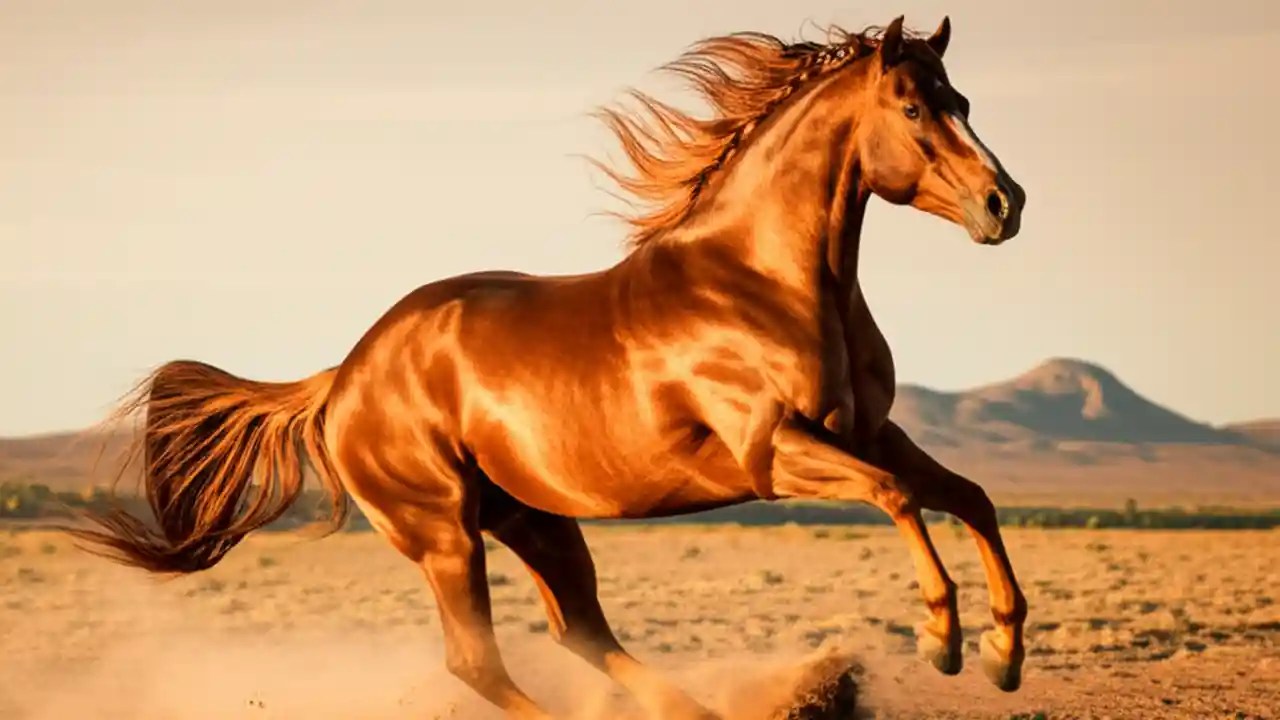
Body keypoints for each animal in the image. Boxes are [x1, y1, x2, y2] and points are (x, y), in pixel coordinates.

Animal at [67, 15, 1028, 719]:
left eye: (962, 97)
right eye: (914, 110)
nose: (1004, 204)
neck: (762, 282)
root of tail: (343, 379)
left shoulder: (871, 431)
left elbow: (970, 496)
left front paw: (1003, 652)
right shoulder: (775, 454)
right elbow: (898, 497)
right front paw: (943, 640)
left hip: (534, 520)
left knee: (583, 634)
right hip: (444, 534)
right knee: (479, 663)